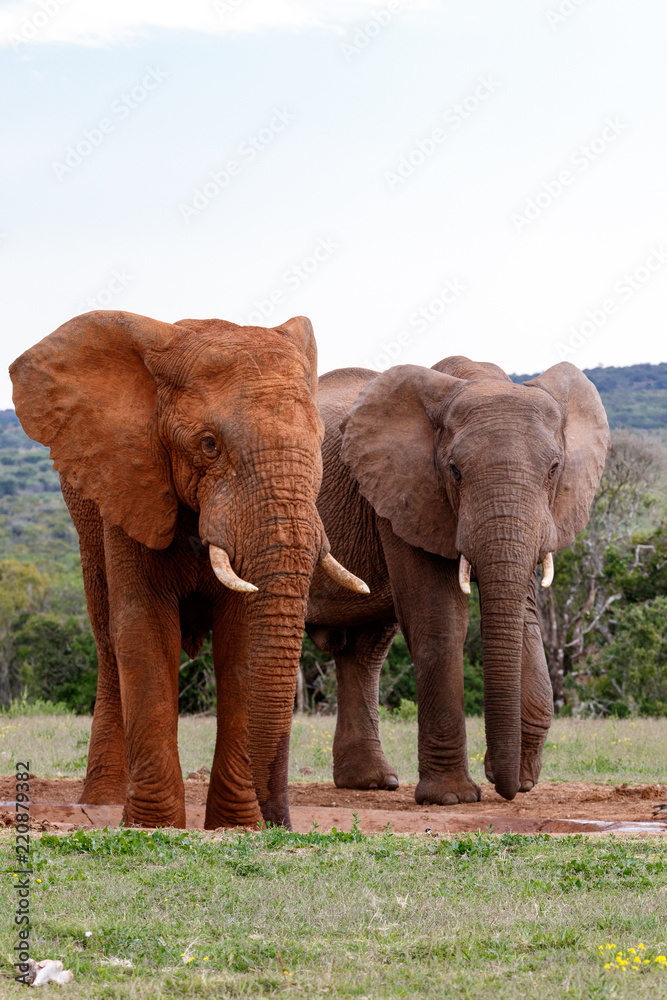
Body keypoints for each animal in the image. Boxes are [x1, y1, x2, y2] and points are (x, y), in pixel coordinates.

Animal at [10, 310, 367, 829]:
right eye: (209, 444)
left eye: (321, 443)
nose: (277, 822)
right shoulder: (131, 483)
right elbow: (144, 629)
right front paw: (152, 827)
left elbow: (241, 641)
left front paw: (235, 827)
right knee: (108, 643)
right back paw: (102, 804)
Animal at [306, 356, 610, 803]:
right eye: (454, 470)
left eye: (554, 469)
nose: (505, 788)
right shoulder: (404, 494)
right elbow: (441, 619)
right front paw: (452, 797)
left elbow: (525, 617)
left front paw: (521, 777)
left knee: (365, 651)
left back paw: (372, 782)